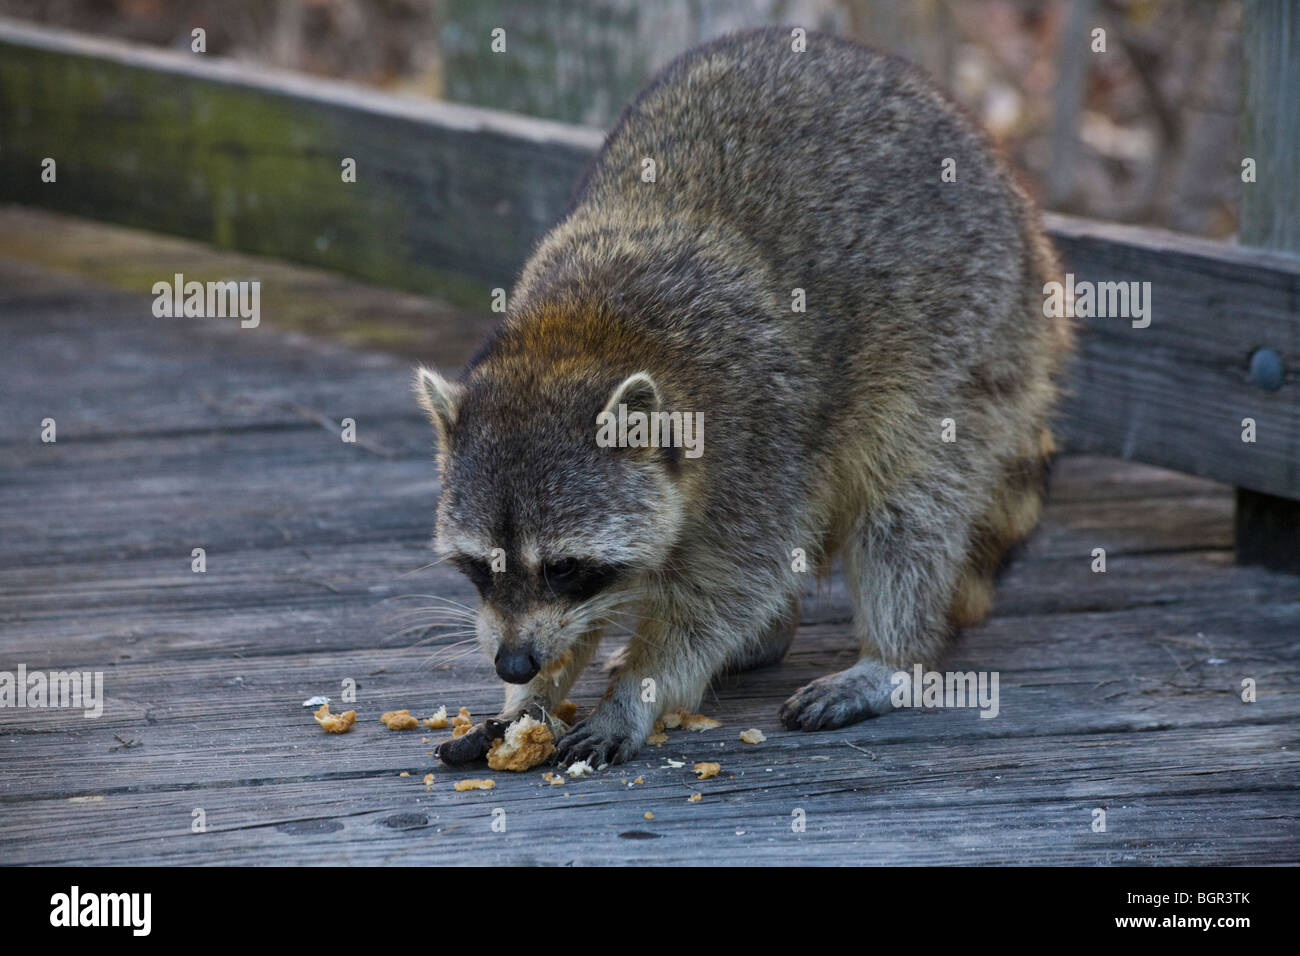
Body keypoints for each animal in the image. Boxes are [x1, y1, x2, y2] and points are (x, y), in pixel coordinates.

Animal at [419, 28, 1072, 768]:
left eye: (563, 568)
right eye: (479, 567)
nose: (513, 663)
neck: (577, 337)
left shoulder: (755, 430)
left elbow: (731, 584)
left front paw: (636, 692)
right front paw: (529, 701)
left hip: (969, 334)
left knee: (907, 507)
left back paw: (892, 657)